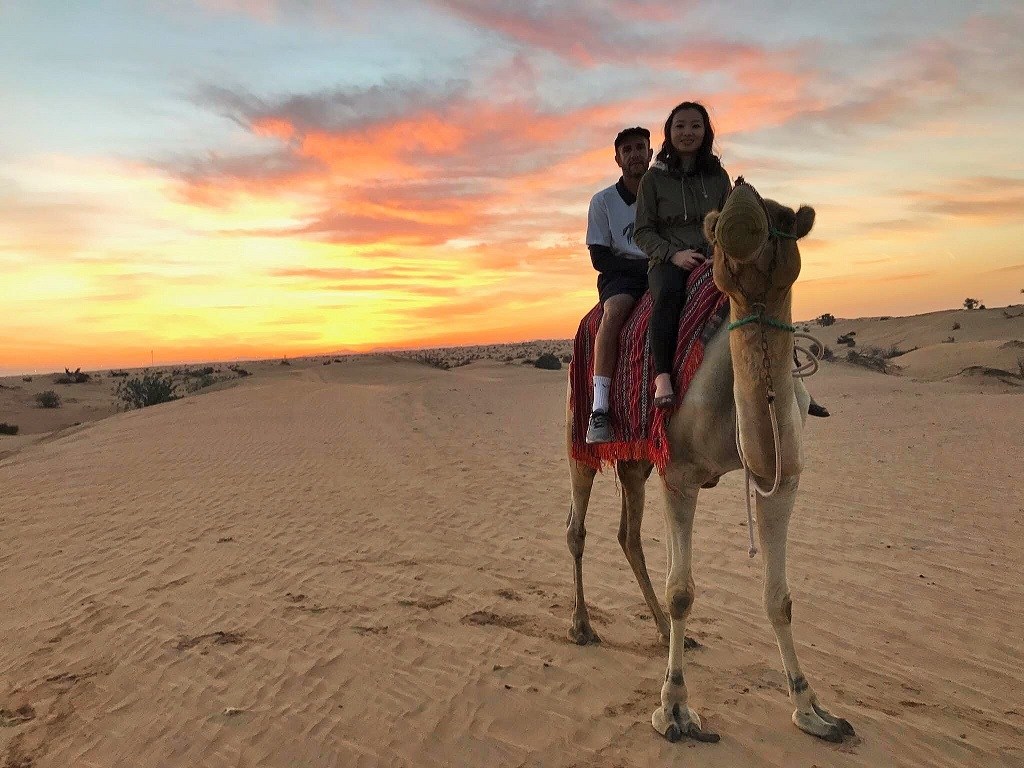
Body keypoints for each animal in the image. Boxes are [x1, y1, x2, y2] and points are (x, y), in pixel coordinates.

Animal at [565, 179, 851, 745]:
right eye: (715, 234)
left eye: (785, 221)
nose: (741, 209)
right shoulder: (680, 474)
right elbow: (682, 591)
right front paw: (675, 710)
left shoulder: (781, 477)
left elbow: (780, 598)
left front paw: (812, 709)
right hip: (582, 437)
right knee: (578, 527)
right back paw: (583, 625)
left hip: (638, 458)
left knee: (628, 535)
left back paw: (660, 631)